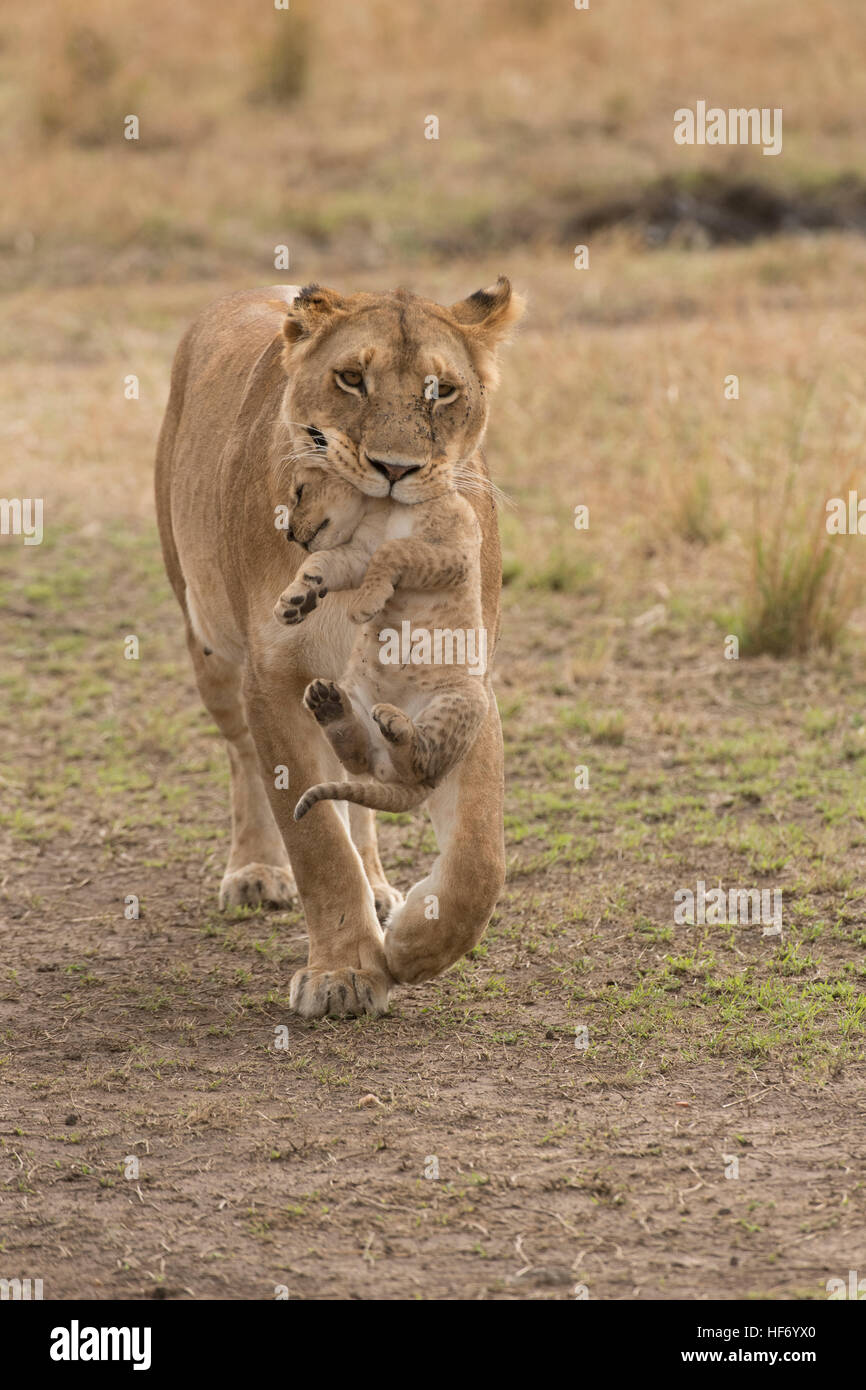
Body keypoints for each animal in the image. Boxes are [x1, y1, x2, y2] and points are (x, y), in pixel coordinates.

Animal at [272, 460, 489, 821]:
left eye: (300, 491)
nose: (287, 533)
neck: (385, 508)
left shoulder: (454, 552)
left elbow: (393, 549)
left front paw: (363, 605)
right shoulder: (360, 555)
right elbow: (320, 560)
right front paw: (294, 601)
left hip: (462, 701)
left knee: (419, 762)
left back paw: (397, 725)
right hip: (354, 694)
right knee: (359, 760)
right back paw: (328, 706)